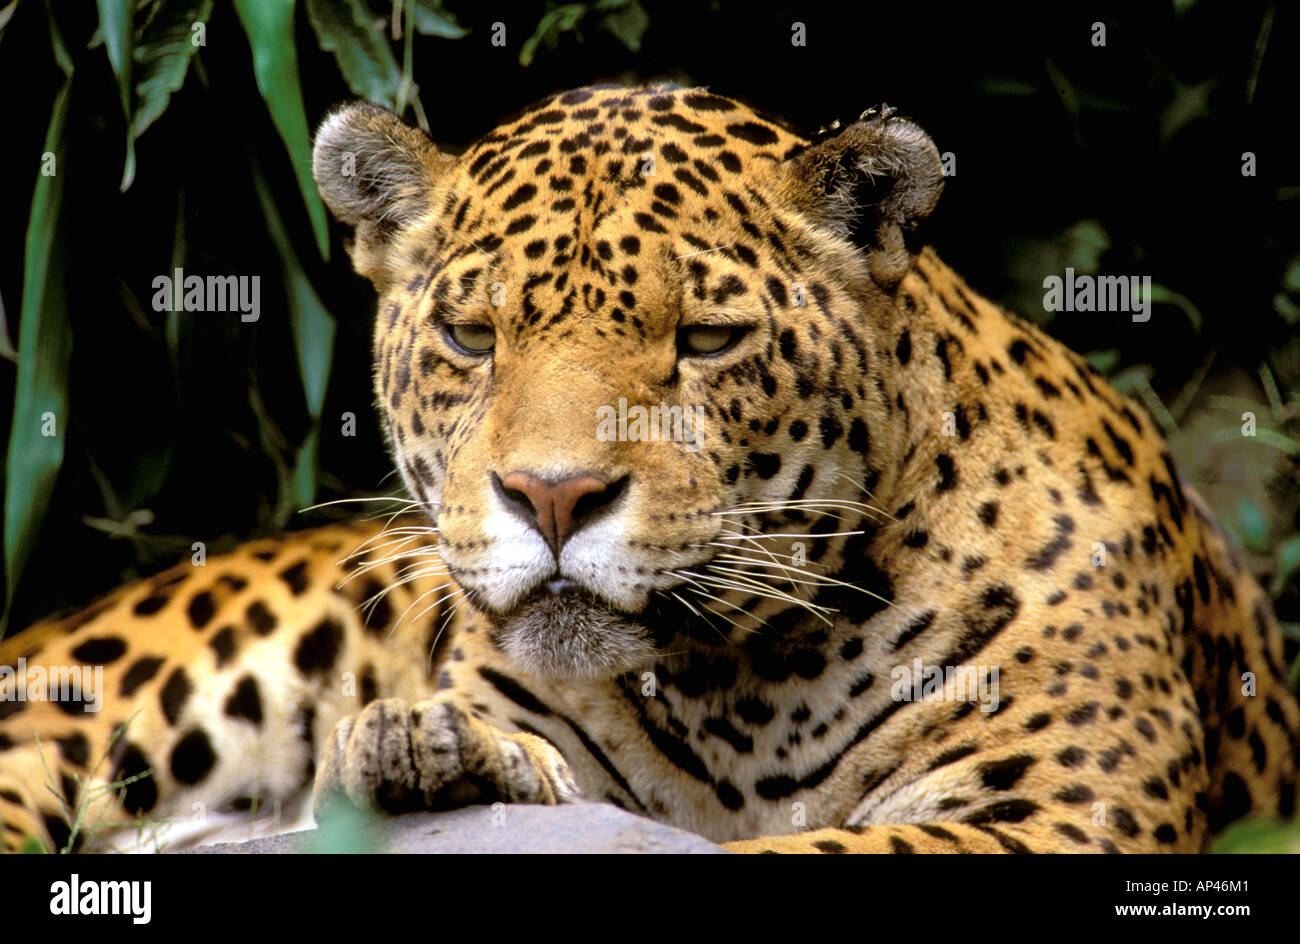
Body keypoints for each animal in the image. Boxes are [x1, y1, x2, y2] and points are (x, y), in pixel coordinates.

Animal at [2, 84, 1297, 854]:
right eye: (472, 335)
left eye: (708, 339)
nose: (553, 497)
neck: (753, 692)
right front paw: (423, 745)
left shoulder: (1050, 815)